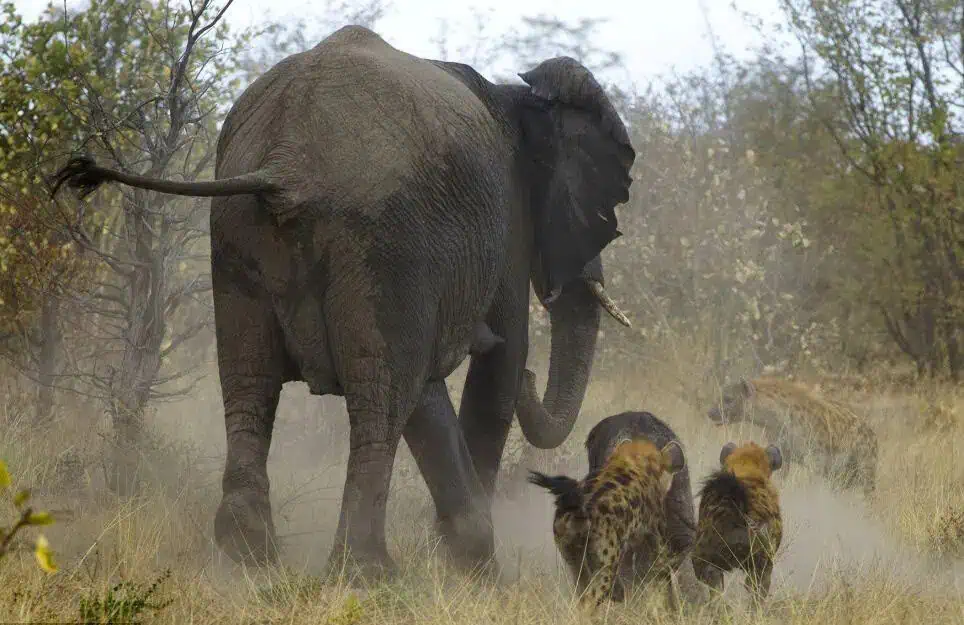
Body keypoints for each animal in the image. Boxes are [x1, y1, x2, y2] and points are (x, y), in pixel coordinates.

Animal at [50, 25, 635, 579]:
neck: (520, 96)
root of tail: (285, 160)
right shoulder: (506, 223)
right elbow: (499, 364)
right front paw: (474, 570)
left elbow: (430, 389)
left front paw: (461, 556)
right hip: (382, 237)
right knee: (380, 398)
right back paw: (367, 572)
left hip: (239, 232)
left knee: (250, 383)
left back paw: (252, 556)